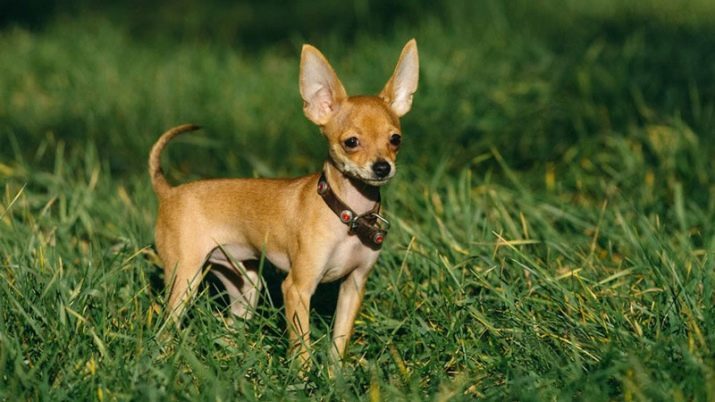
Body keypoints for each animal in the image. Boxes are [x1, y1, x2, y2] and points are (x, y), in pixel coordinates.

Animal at [150, 39, 420, 366]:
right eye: (351, 142)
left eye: (395, 139)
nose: (382, 167)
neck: (347, 213)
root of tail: (169, 191)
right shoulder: (296, 288)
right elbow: (302, 347)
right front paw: (304, 376)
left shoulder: (353, 286)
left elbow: (338, 344)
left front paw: (334, 375)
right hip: (184, 280)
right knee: (165, 328)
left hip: (245, 287)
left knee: (229, 327)